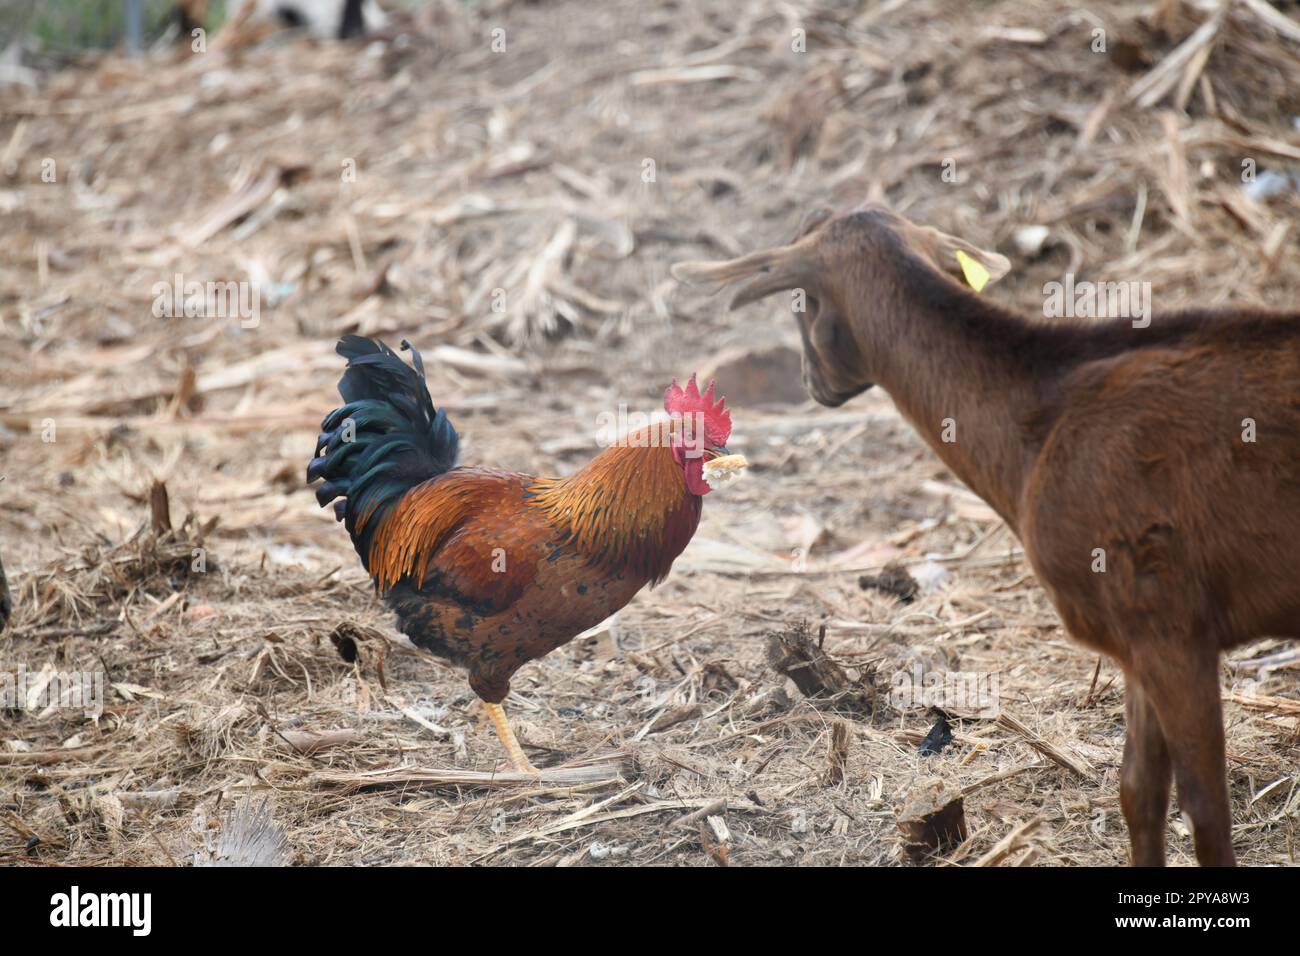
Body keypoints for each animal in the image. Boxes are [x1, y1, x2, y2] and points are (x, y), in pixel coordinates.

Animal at [673, 204, 1300, 866]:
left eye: (804, 305)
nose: (810, 381)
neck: (1042, 422)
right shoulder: (1136, 639)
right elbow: (1139, 791)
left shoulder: (1171, 624)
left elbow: (1206, 810)